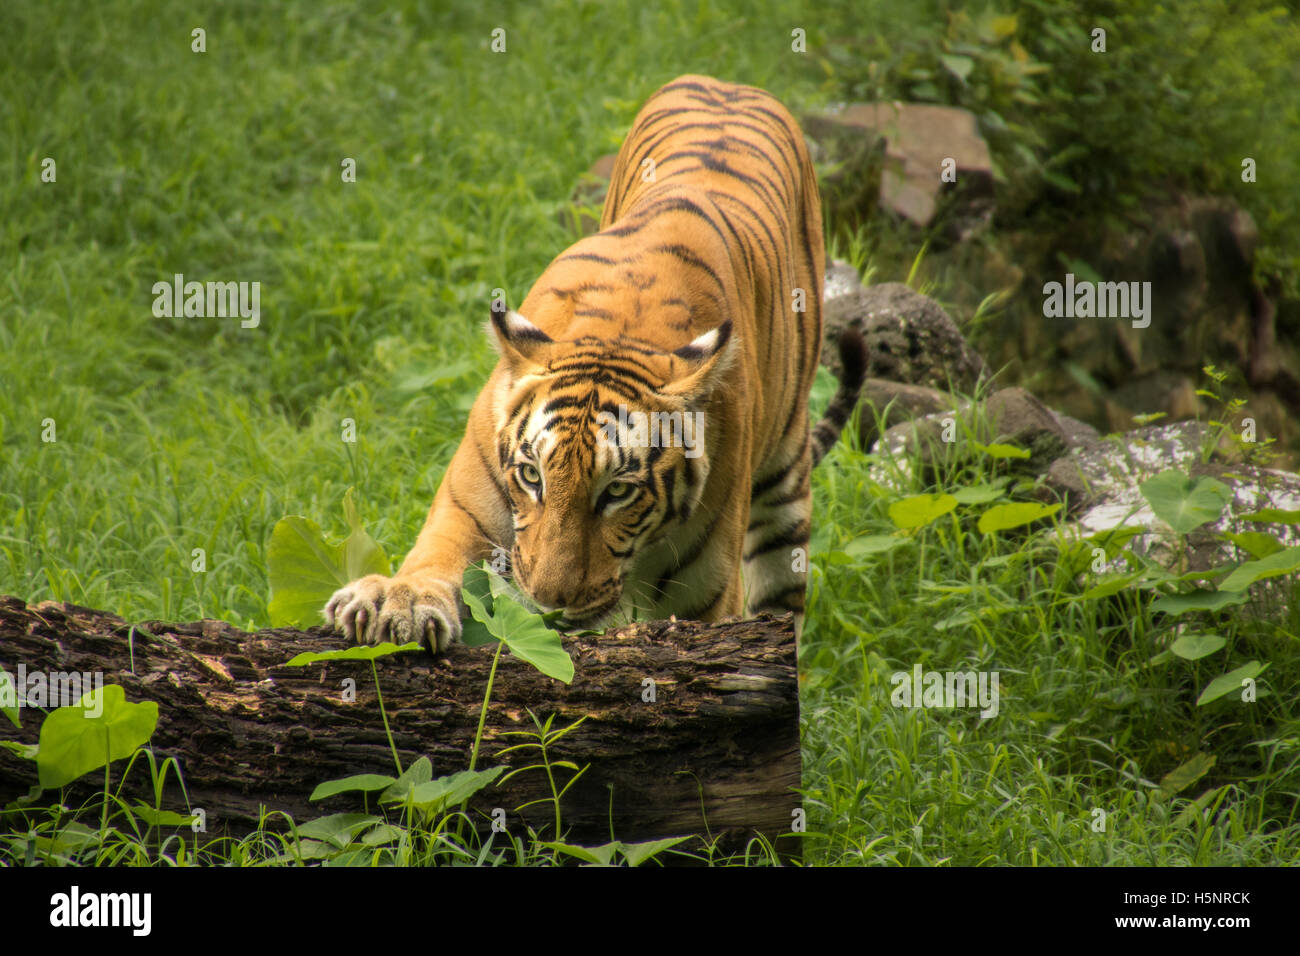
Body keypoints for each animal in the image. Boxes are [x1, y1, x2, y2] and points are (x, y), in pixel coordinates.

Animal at [325, 74, 867, 651]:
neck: (622, 331)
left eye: (619, 491)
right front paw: (395, 602)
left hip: (786, 485)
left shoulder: (707, 592)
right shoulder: (467, 505)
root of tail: (727, 83)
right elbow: (435, 555)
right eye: (532, 476)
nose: (548, 603)